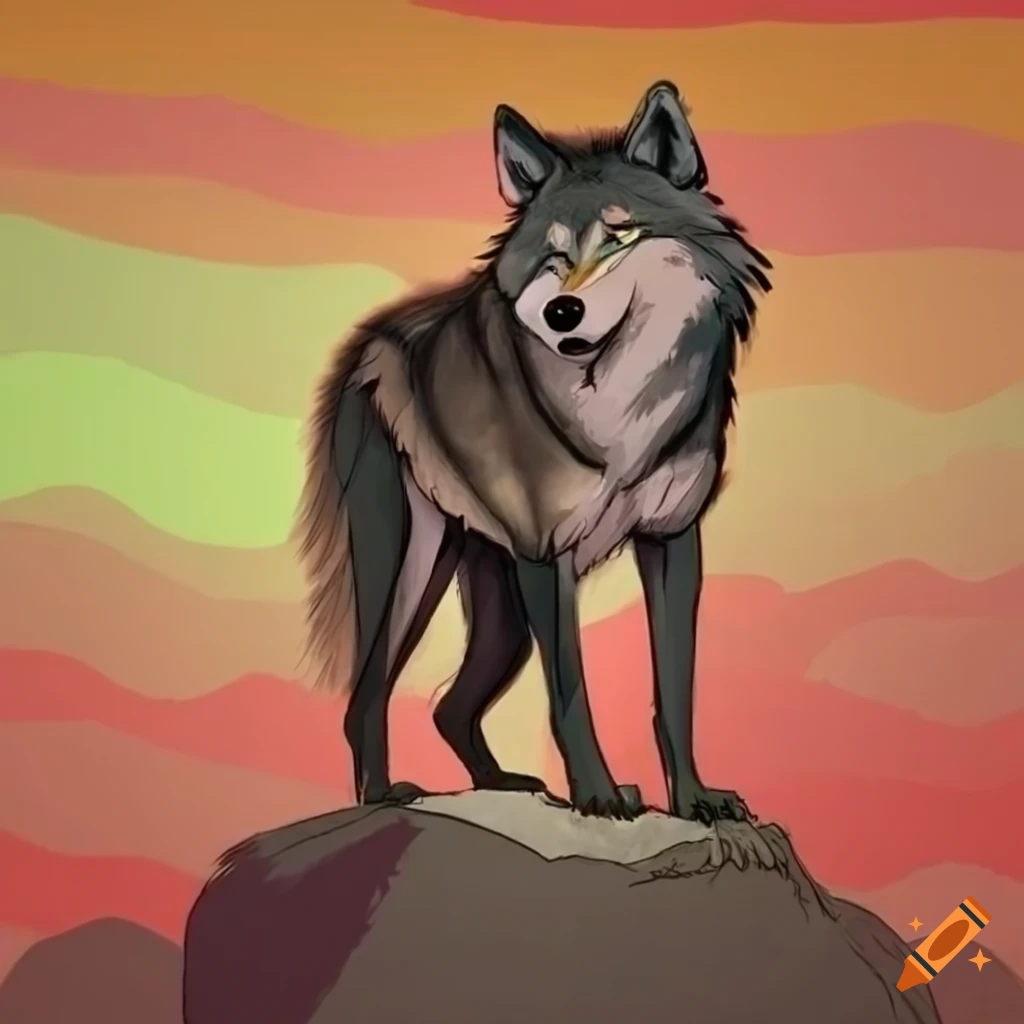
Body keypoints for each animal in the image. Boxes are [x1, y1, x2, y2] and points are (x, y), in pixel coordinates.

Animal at [296, 81, 772, 822]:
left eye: (620, 233)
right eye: (554, 256)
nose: (562, 313)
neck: (624, 400)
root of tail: (369, 339)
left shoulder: (671, 541)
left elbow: (676, 692)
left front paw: (692, 799)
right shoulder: (548, 559)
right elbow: (571, 692)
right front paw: (599, 796)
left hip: (499, 612)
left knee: (449, 708)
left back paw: (505, 785)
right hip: (410, 567)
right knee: (367, 693)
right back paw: (384, 794)